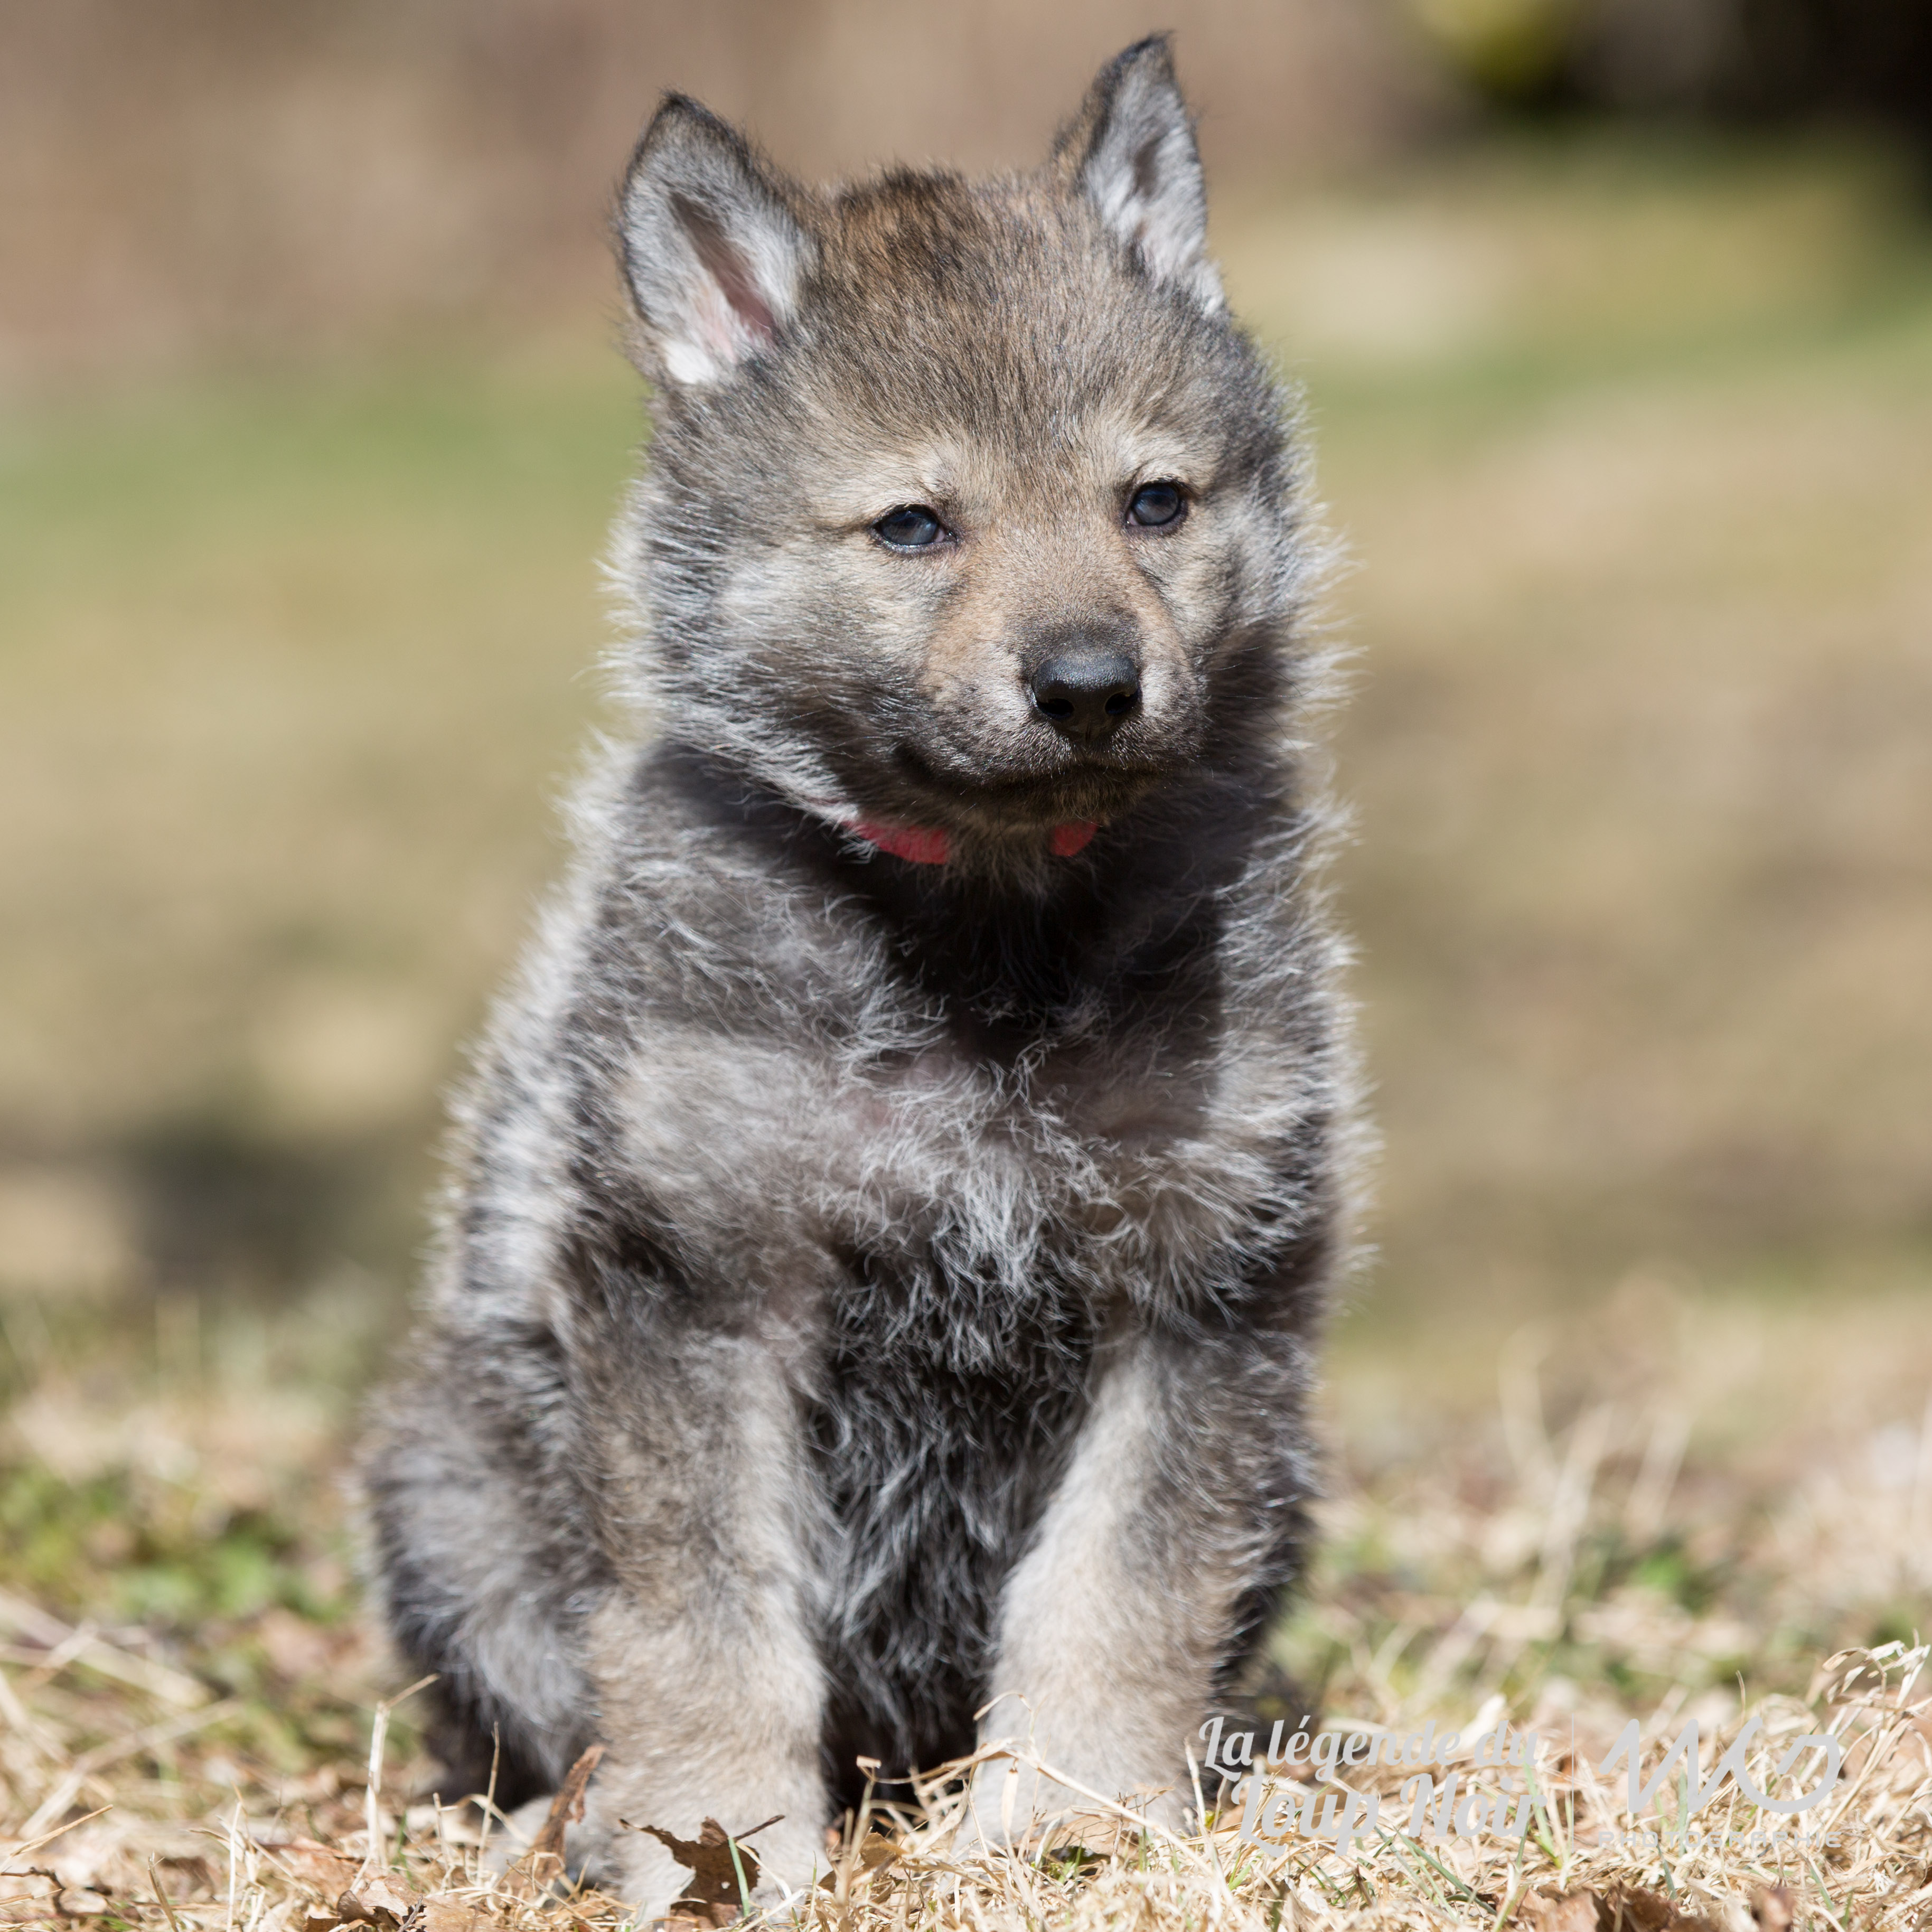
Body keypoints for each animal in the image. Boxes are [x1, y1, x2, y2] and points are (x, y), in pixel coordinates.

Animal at [362, 34, 1357, 1914]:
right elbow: (701, 1613)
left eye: (1153, 504)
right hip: (450, 1477)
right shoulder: (697, 1281)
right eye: (913, 528)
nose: (1090, 683)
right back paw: (557, 1816)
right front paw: (712, 1839)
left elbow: (1120, 1587)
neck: (981, 938)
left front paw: (1071, 1827)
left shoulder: (1199, 1282)